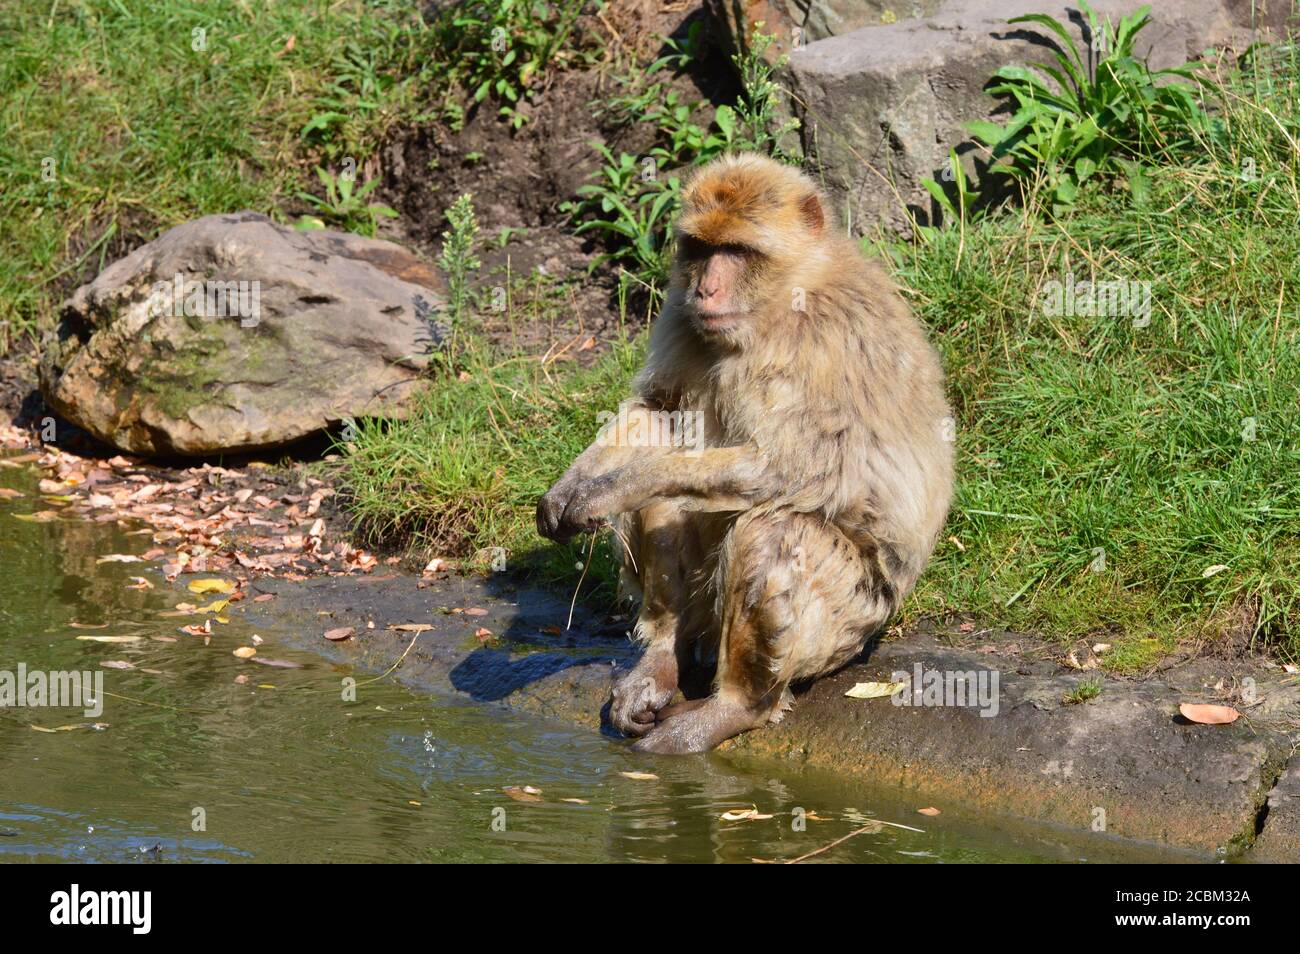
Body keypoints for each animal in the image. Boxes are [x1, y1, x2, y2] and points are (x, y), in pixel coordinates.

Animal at [536, 152, 954, 754]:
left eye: (737, 251)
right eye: (701, 248)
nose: (707, 290)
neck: (777, 304)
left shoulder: (823, 340)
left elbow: (796, 469)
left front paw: (613, 487)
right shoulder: (679, 312)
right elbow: (659, 409)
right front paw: (576, 483)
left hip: (851, 621)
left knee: (772, 530)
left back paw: (733, 708)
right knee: (671, 494)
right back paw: (663, 656)